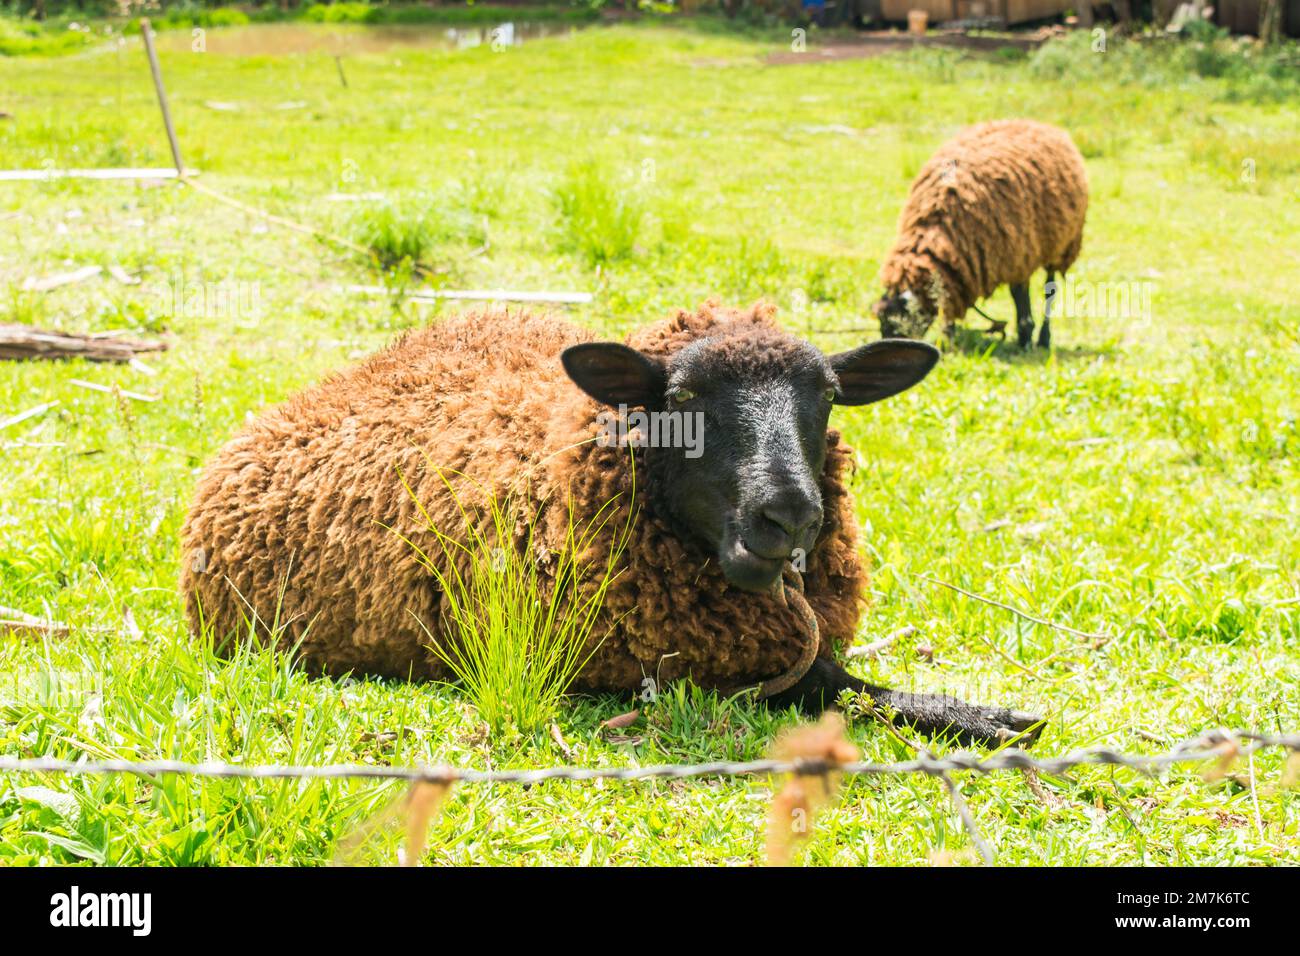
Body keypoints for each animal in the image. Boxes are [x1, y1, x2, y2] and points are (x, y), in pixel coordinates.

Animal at [180, 302, 1041, 745]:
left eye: (828, 394)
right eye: (683, 397)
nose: (790, 517)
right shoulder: (652, 668)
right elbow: (838, 687)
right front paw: (984, 717)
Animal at [874, 119, 1089, 349]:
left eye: (900, 319)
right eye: (882, 321)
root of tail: (1039, 124)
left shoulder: (1018, 254)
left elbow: (1018, 295)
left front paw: (1025, 336)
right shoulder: (958, 270)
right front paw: (949, 337)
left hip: (1059, 247)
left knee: (1049, 291)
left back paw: (1042, 339)